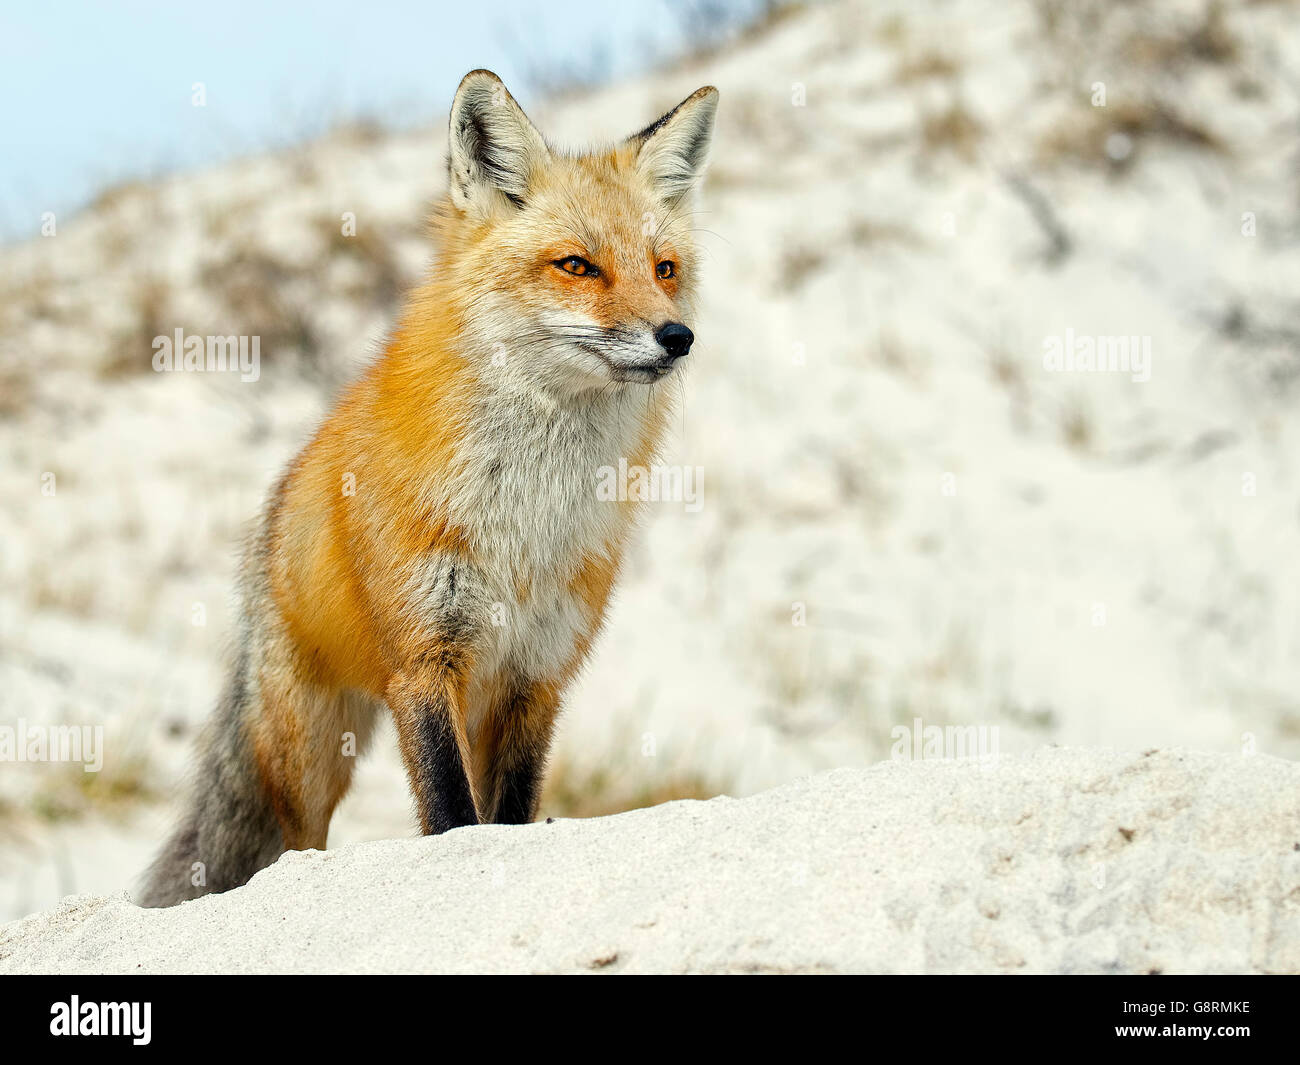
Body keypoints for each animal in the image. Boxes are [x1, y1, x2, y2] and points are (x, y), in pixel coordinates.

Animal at [137, 70, 719, 907]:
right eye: (577, 266)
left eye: (664, 268)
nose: (677, 337)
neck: (527, 516)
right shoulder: (423, 656)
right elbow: (450, 816)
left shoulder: (536, 675)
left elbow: (507, 813)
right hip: (311, 749)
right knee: (294, 842)